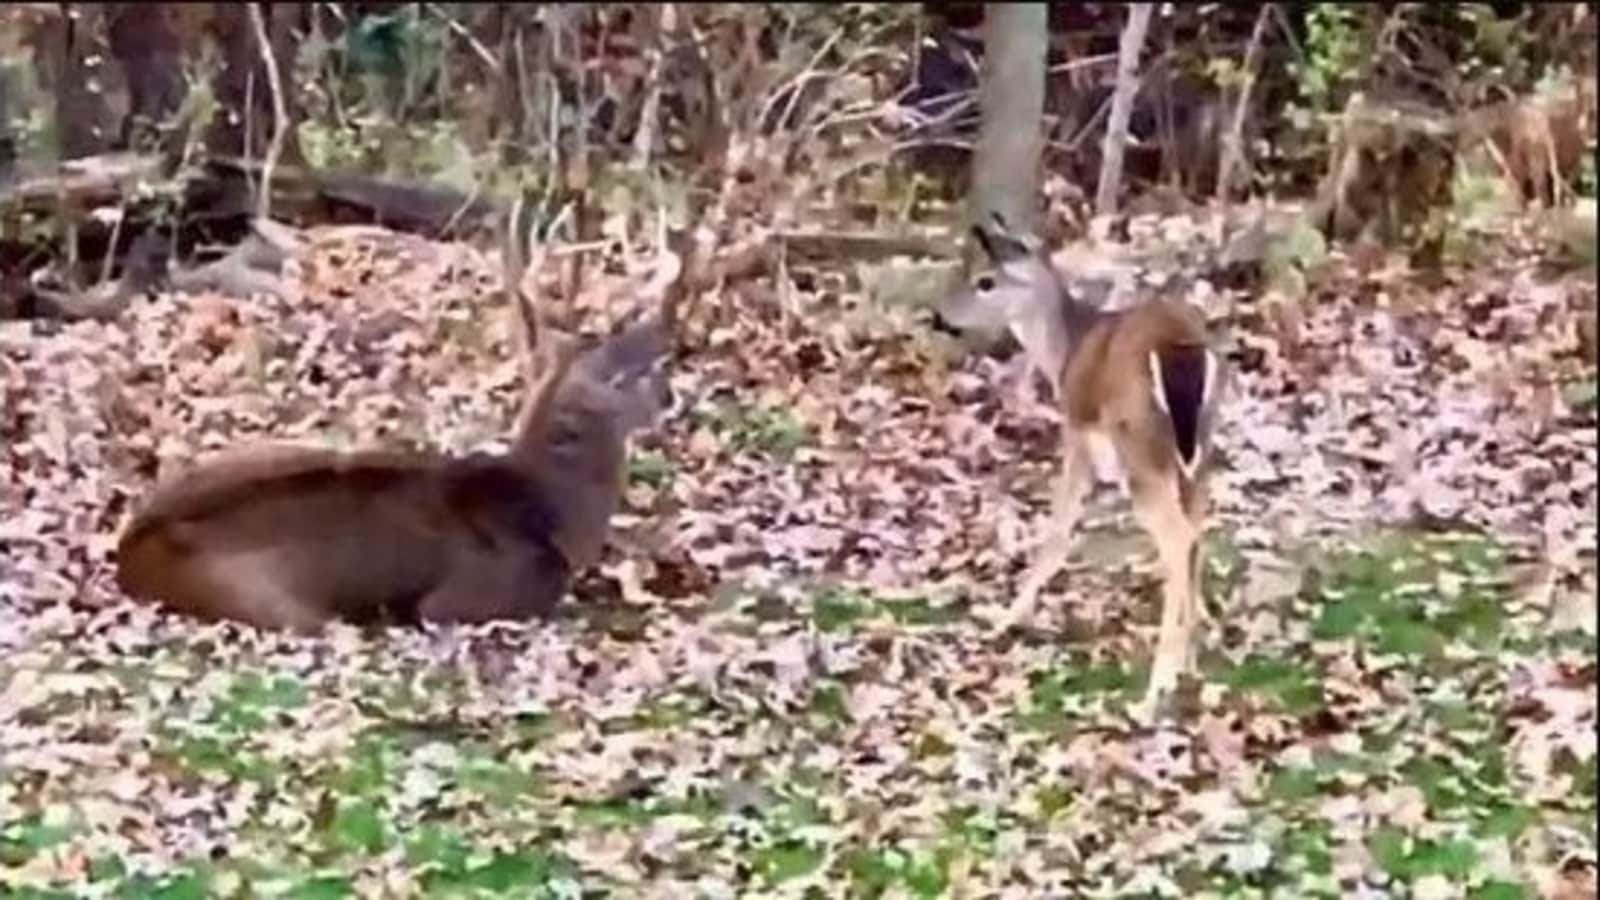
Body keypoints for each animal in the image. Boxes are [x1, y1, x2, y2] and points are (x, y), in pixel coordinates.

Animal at [114, 199, 683, 631]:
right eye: (626, 381)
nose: (668, 397)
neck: (550, 513)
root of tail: (129, 555)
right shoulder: (470, 598)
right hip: (274, 602)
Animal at [934, 213, 1228, 720]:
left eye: (985, 280)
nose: (940, 317)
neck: (1064, 351)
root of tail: (1181, 352)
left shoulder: (1076, 430)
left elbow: (1058, 528)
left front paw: (1006, 617)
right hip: (1199, 448)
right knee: (1195, 532)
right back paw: (1188, 659)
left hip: (1139, 447)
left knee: (1177, 537)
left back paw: (1153, 692)